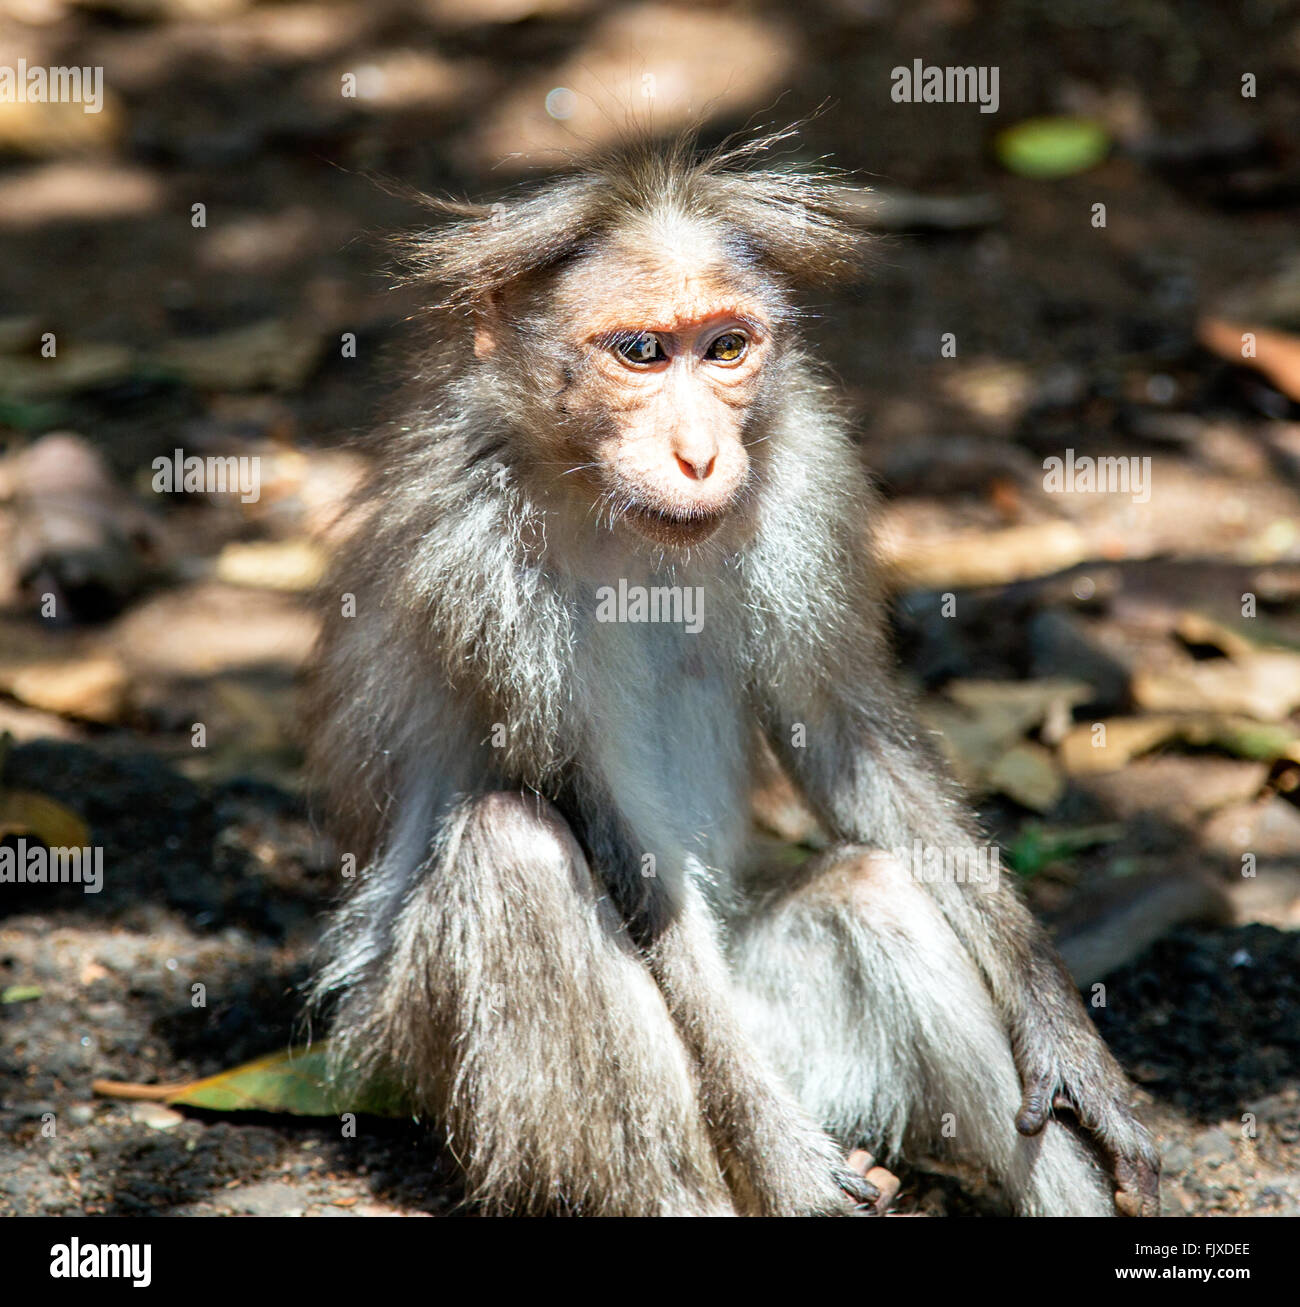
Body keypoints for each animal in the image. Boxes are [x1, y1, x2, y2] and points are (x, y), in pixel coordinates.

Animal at [307, 130, 1161, 1217]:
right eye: (640, 352)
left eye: (724, 349)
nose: (701, 453)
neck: (600, 502)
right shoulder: (477, 551)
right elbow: (616, 830)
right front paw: (779, 1150)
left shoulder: (804, 469)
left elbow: (841, 735)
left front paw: (1062, 1027)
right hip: (426, 1057)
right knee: (515, 848)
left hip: (793, 1029)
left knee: (873, 893)